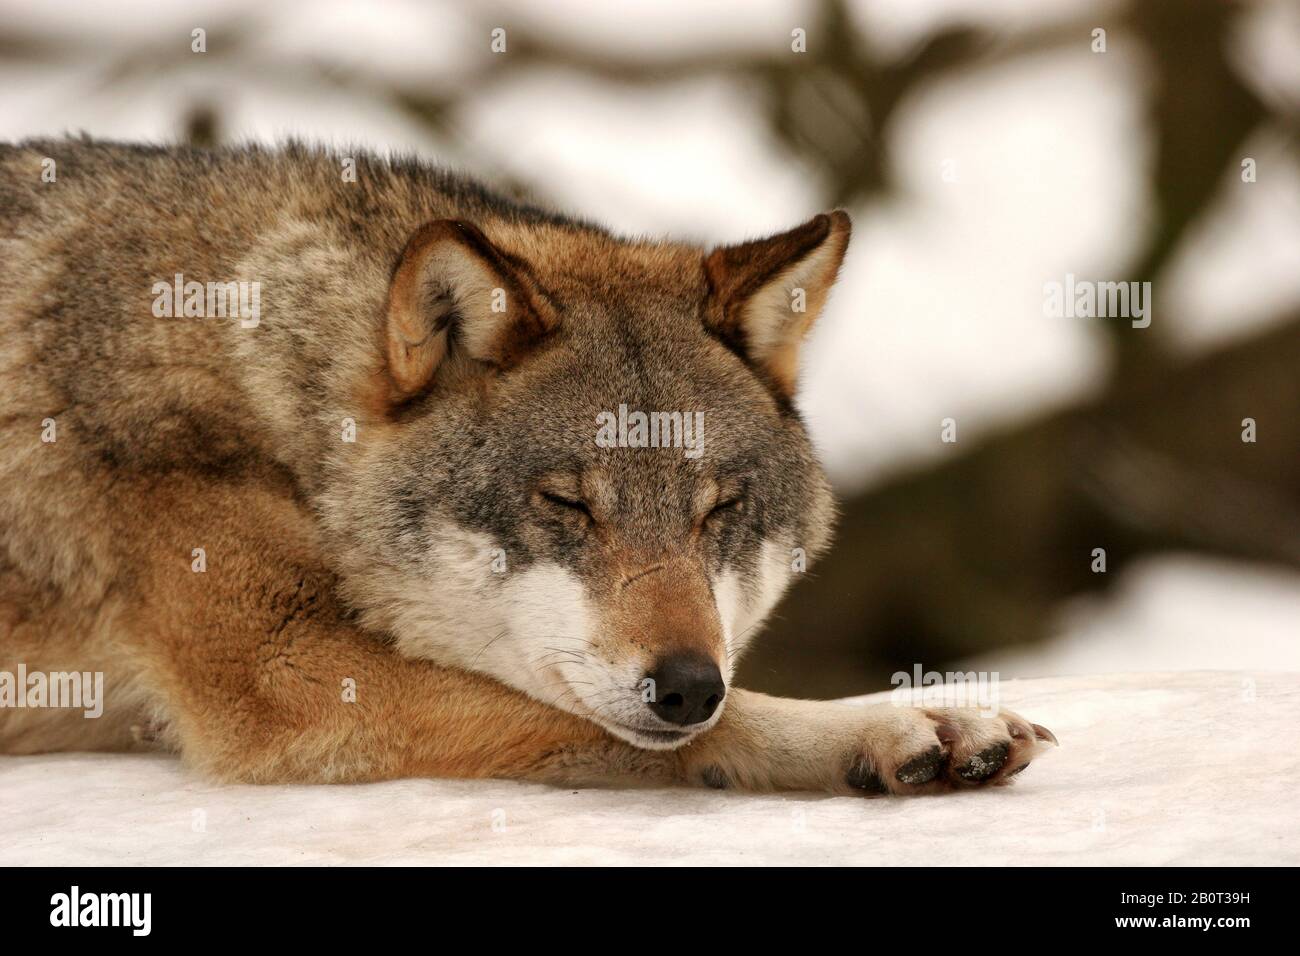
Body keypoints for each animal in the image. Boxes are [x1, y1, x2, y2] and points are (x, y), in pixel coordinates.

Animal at [0, 138, 1055, 793]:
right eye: (566, 505)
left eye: (718, 511)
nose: (686, 684)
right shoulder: (286, 670)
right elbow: (689, 725)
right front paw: (889, 728)